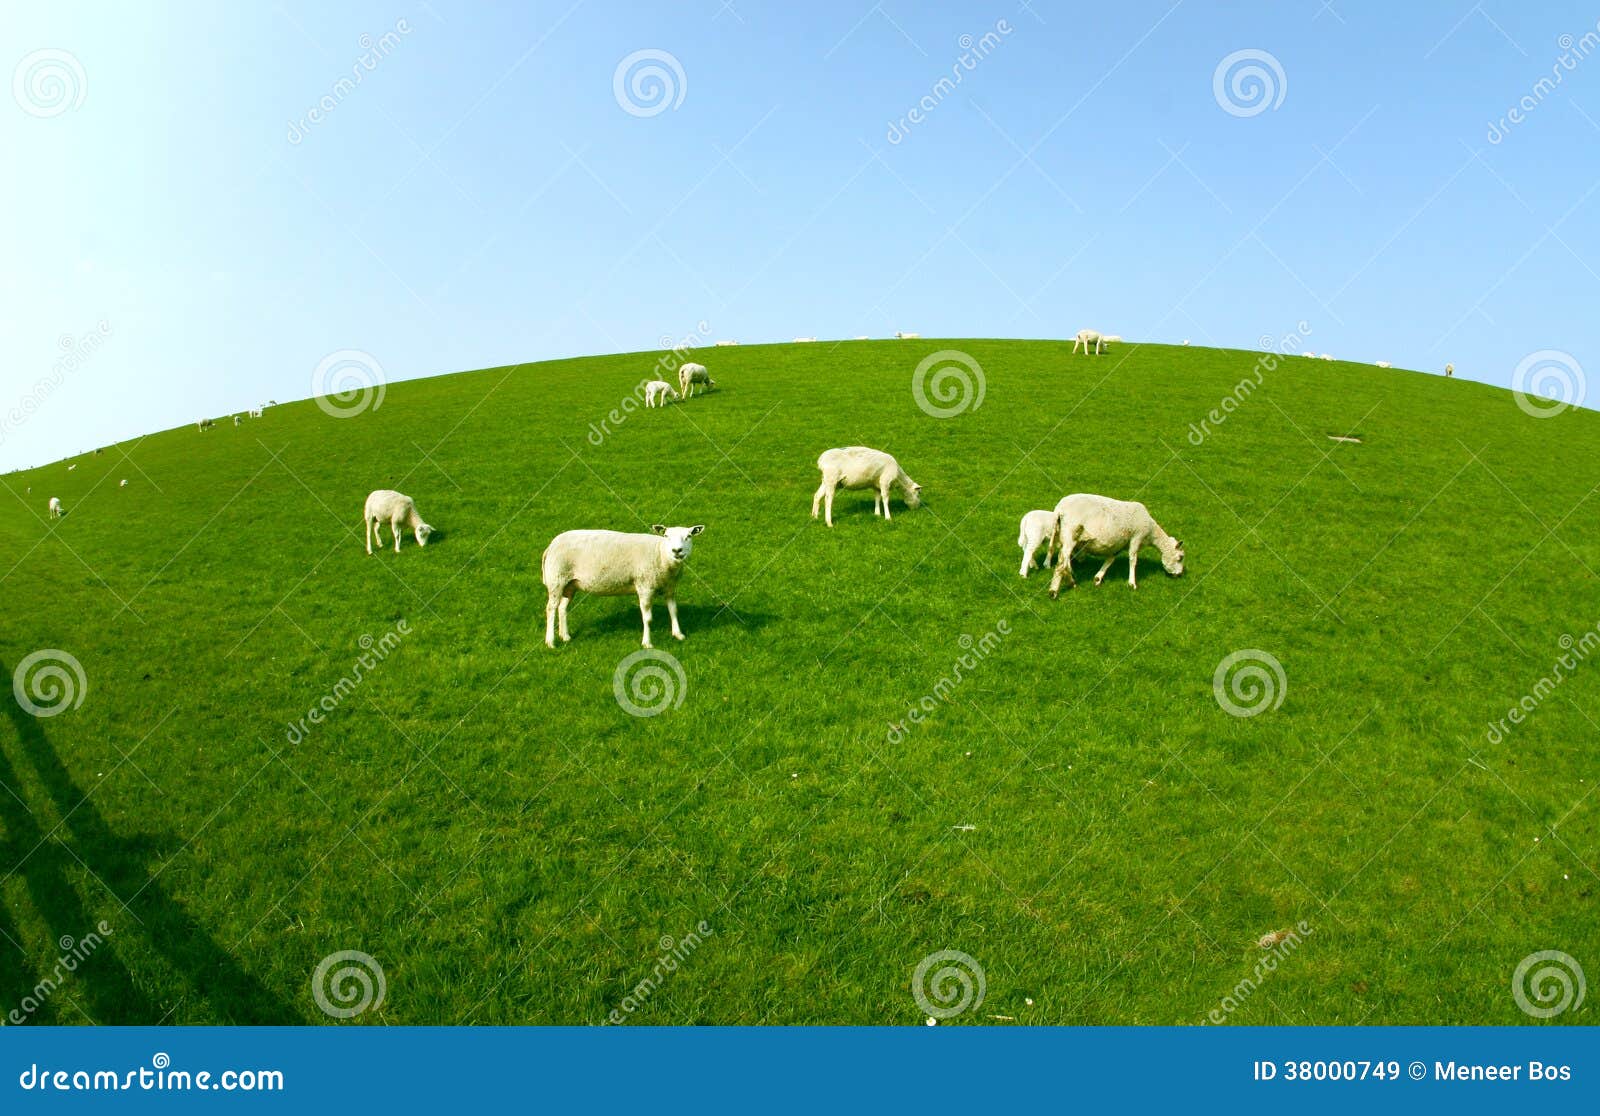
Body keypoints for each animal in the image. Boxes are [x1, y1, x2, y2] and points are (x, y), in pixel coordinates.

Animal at [541, 524, 704, 648]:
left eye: (689, 536)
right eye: (666, 536)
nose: (677, 551)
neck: (660, 553)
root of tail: (551, 546)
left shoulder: (670, 588)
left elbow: (673, 610)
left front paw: (678, 634)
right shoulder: (645, 587)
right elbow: (648, 618)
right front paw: (647, 643)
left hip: (570, 584)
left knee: (562, 608)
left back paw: (565, 636)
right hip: (556, 580)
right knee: (551, 609)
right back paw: (550, 642)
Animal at [1047, 493, 1185, 597]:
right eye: (1180, 557)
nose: (1179, 575)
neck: (1151, 533)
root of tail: (1060, 509)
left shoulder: (1119, 544)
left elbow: (1110, 560)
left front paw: (1098, 578)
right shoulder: (1137, 537)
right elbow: (1133, 560)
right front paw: (1132, 583)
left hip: (1062, 534)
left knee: (1065, 561)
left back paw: (1071, 580)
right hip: (1070, 533)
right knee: (1061, 563)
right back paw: (1054, 590)